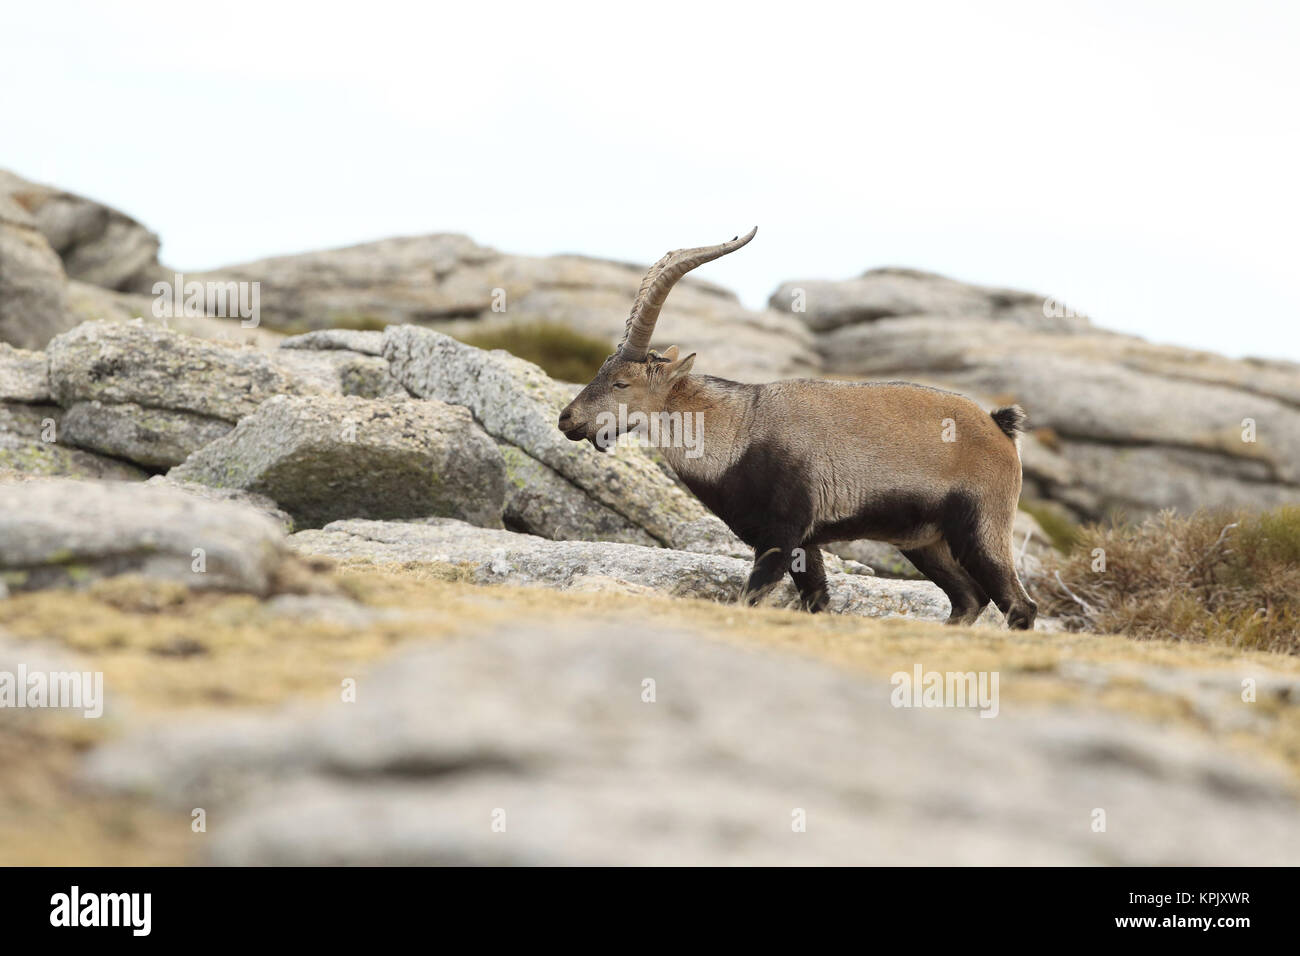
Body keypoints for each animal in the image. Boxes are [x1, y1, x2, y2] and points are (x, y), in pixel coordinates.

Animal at [557, 228, 1038, 629]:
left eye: (622, 383)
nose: (567, 419)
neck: (738, 430)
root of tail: (1000, 427)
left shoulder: (782, 534)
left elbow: (753, 597)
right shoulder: (806, 543)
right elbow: (817, 601)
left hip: (981, 528)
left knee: (1019, 605)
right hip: (924, 542)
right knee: (969, 599)